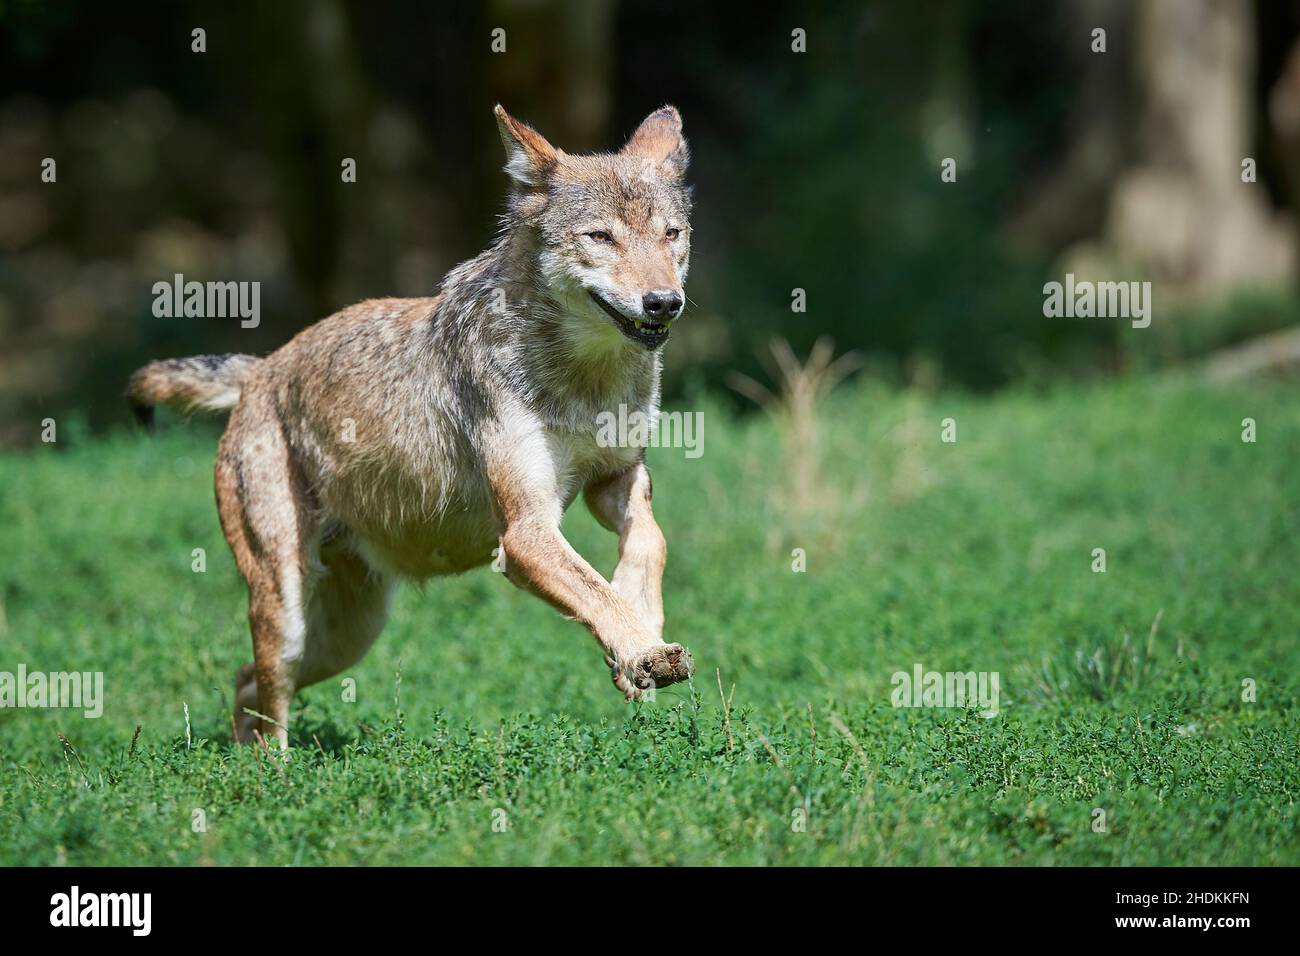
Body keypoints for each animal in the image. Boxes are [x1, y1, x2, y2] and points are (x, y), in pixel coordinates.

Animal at [128, 105, 695, 747]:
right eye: (600, 237)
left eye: (671, 235)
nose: (663, 302)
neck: (583, 377)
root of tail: (261, 370)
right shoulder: (525, 533)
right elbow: (594, 587)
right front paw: (642, 650)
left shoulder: (616, 480)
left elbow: (649, 542)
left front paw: (640, 635)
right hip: (288, 610)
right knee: (265, 693)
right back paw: (276, 772)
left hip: (350, 634)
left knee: (246, 682)